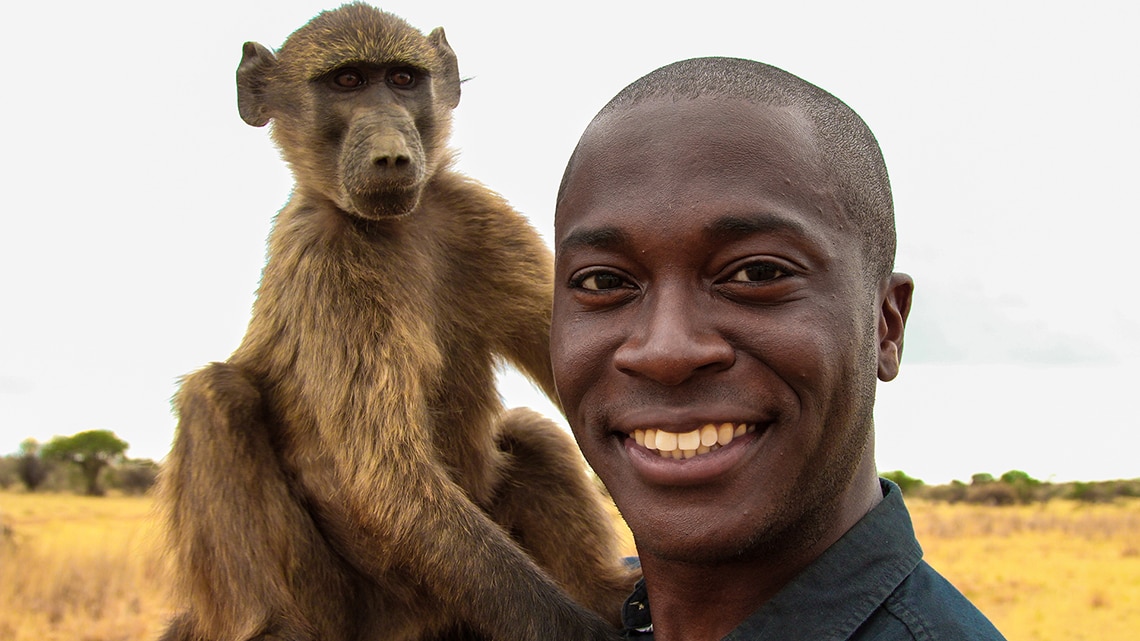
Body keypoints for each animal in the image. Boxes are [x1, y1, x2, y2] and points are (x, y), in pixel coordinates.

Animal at [157, 4, 636, 641]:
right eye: (346, 81)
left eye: (403, 79)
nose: (390, 156)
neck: (396, 225)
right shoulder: (328, 266)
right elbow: (386, 479)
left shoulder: (478, 215)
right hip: (351, 605)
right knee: (216, 396)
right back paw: (268, 625)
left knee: (529, 431)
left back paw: (608, 592)